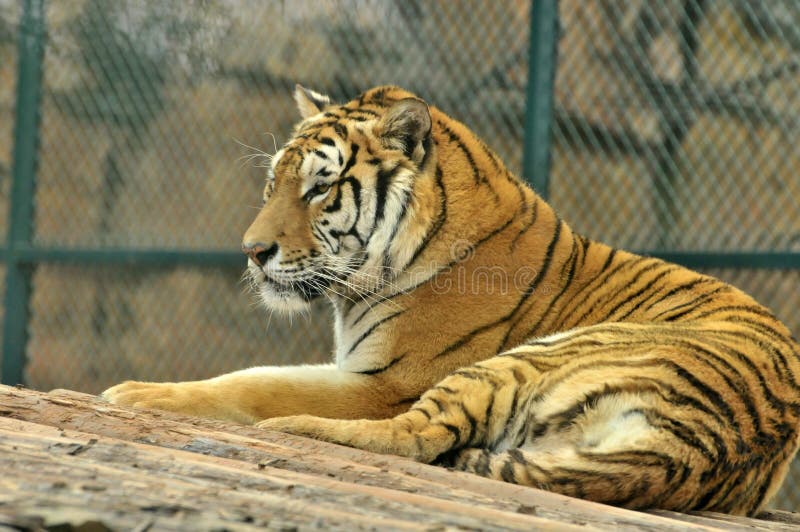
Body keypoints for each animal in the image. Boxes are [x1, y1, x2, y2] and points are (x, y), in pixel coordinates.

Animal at [104, 84, 800, 515]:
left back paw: (293, 431)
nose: (251, 252)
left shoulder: (385, 383)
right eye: (273, 184)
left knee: (412, 435)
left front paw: (134, 394)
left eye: (320, 189)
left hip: (530, 358)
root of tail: (695, 447)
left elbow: (253, 382)